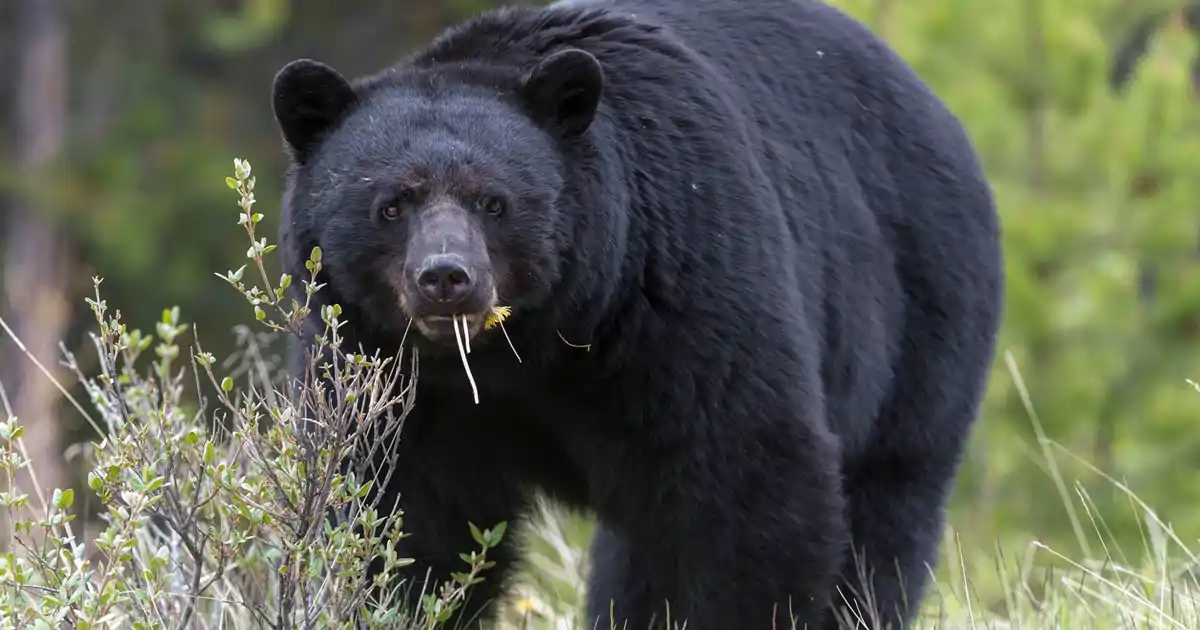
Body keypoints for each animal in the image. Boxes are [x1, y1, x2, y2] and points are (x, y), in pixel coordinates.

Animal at [269, 0, 1004, 628]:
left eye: (494, 201)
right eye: (392, 203)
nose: (446, 279)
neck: (527, 345)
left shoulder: (676, 290)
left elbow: (747, 484)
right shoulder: (387, 373)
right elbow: (399, 516)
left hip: (919, 316)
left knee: (885, 517)